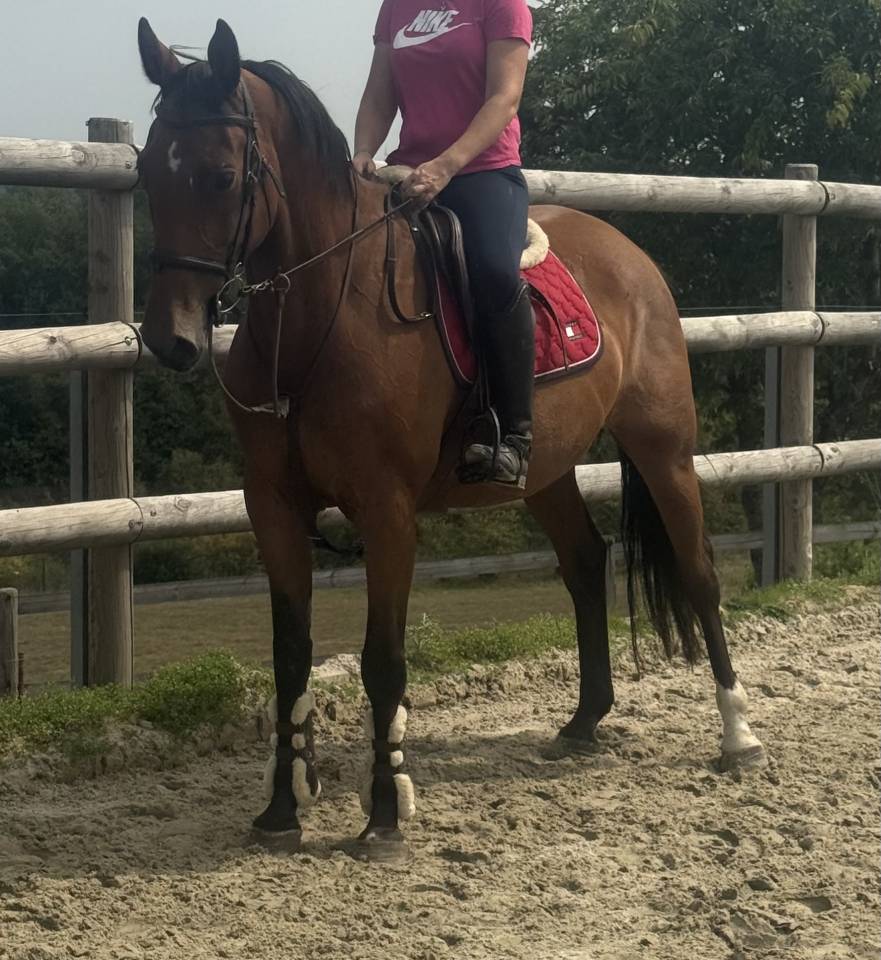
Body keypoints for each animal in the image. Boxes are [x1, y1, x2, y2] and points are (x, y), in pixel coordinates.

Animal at [136, 18, 766, 859]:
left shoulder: (386, 511)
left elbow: (382, 660)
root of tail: (626, 251)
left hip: (662, 446)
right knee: (584, 562)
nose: (169, 340)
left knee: (697, 572)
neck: (319, 320)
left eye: (220, 176)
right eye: (147, 172)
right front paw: (281, 808)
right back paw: (582, 722)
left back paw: (738, 736)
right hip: (544, 471)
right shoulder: (271, 506)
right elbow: (289, 655)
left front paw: (384, 811)